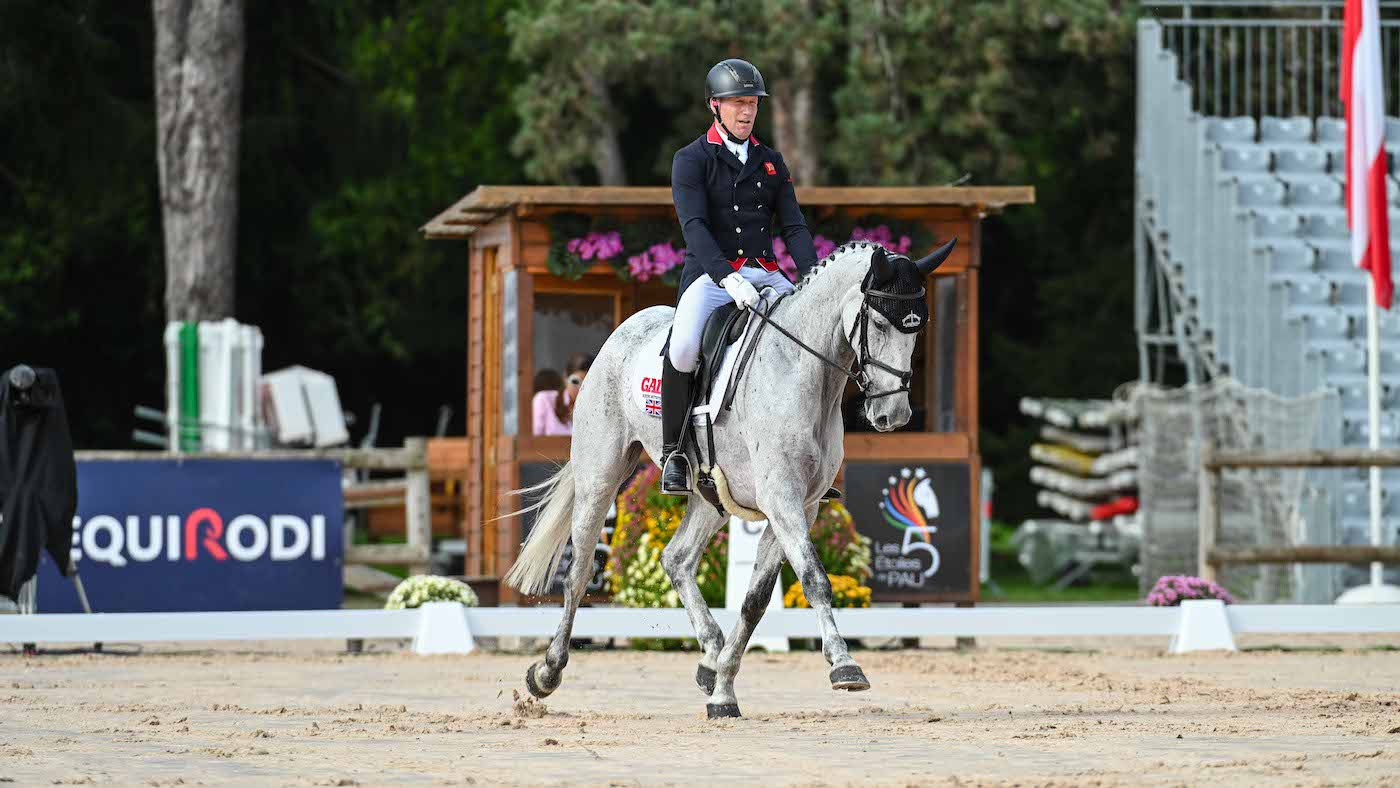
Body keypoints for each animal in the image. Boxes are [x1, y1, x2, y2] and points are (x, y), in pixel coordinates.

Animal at [503, 238, 956, 718]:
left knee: (677, 558)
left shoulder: (801, 506)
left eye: (918, 329)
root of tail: (625, 329)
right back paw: (546, 673)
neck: (802, 370)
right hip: (600, 474)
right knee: (579, 571)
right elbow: (815, 578)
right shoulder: (782, 500)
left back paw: (709, 656)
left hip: (710, 496)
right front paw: (844, 664)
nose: (894, 415)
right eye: (880, 322)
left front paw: (723, 689)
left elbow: (755, 601)